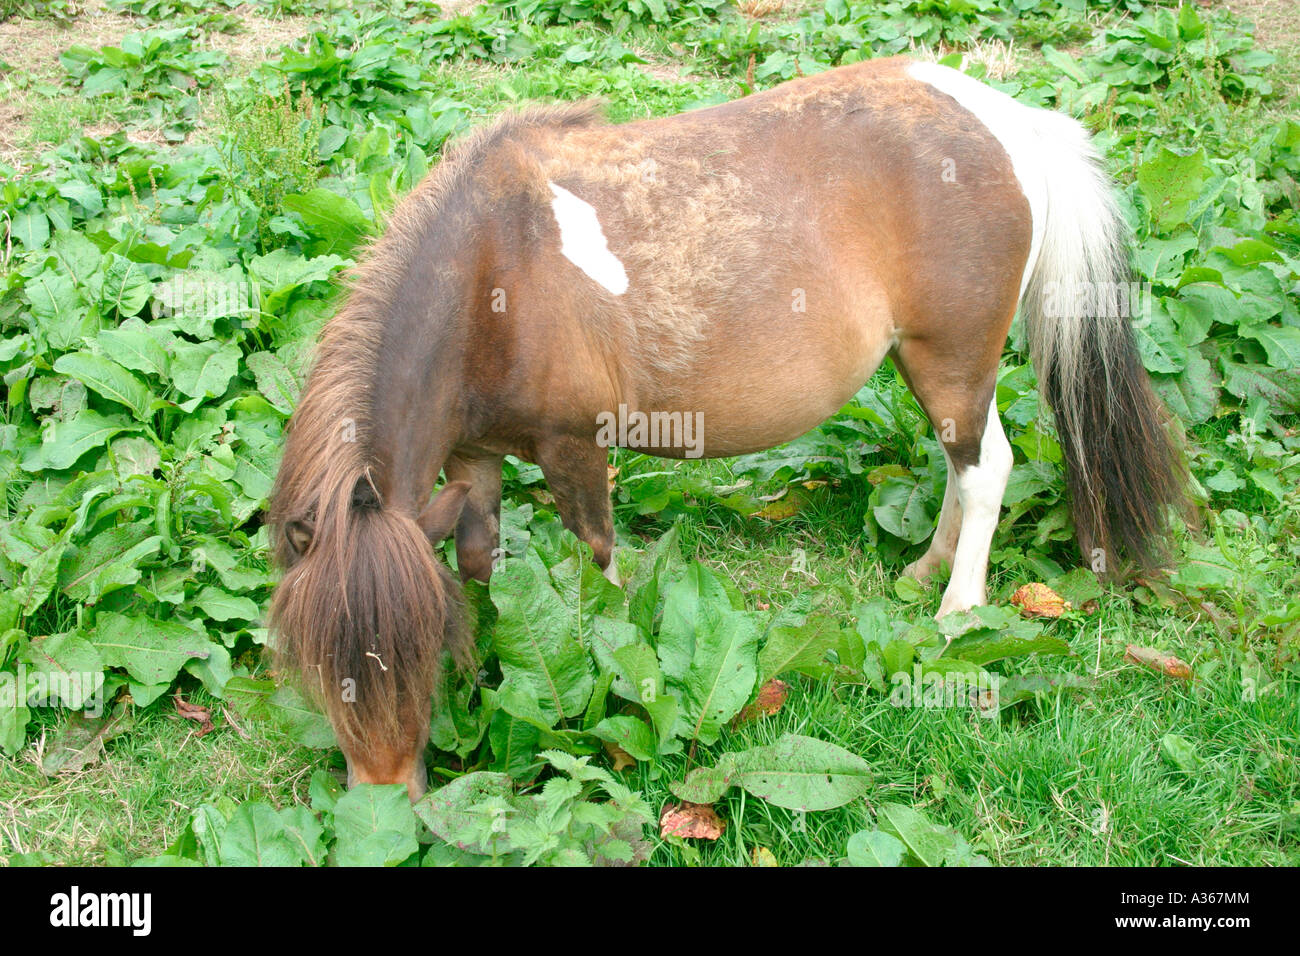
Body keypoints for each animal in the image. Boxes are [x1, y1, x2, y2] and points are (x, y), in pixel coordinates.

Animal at [268, 56, 1187, 797]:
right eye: (316, 668)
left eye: (412, 664)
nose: (384, 805)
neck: (496, 275)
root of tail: (1010, 121)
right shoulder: (472, 459)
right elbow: (479, 564)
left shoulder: (574, 448)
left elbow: (599, 568)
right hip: (930, 365)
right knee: (966, 466)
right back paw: (925, 571)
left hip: (951, 360)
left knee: (984, 466)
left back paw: (958, 609)